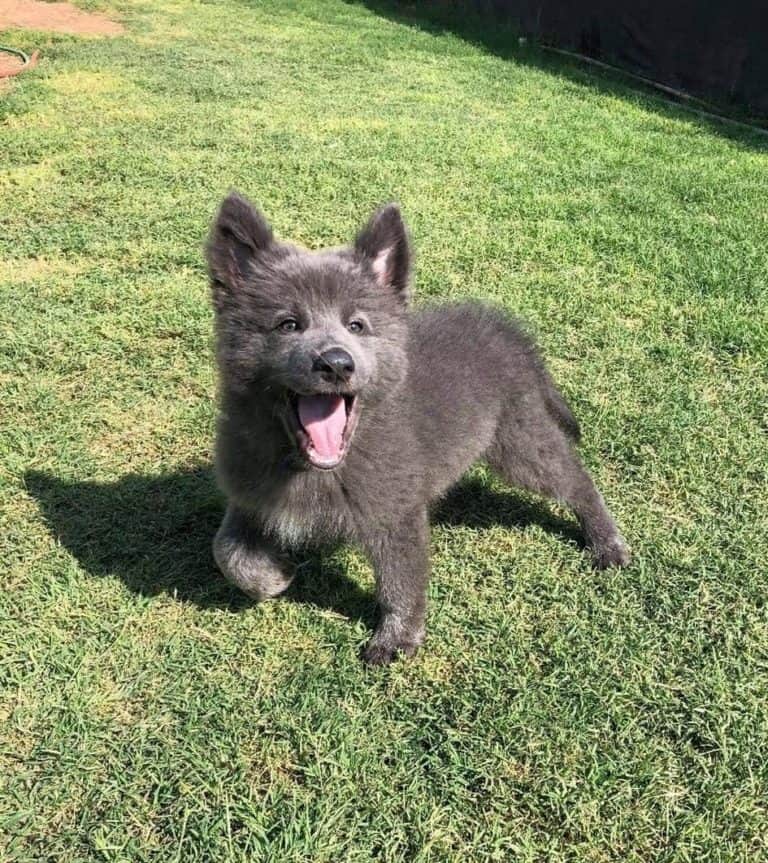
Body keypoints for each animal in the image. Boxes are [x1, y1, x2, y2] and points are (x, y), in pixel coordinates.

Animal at [207, 192, 629, 665]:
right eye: (288, 324)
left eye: (356, 325)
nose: (336, 363)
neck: (311, 466)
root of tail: (506, 330)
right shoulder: (250, 493)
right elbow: (227, 551)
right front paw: (273, 578)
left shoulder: (394, 512)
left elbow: (401, 580)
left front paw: (396, 638)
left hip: (519, 442)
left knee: (574, 479)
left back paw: (607, 542)